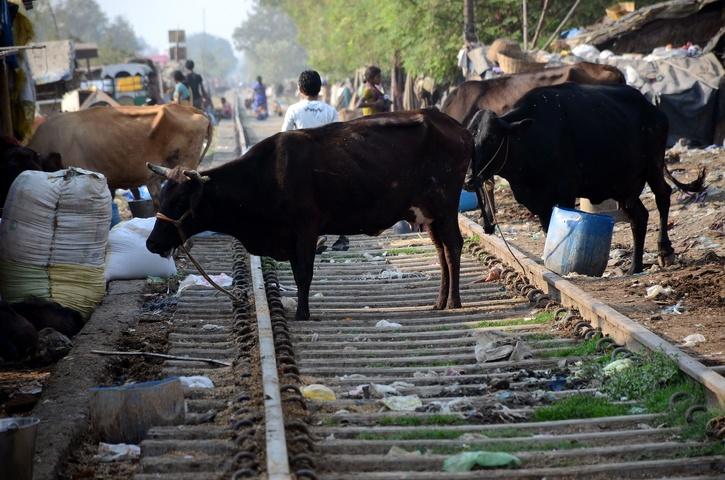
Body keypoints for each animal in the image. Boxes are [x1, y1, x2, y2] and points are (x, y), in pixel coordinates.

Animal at [145, 109, 472, 320]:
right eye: (162, 197)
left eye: (179, 201)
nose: (151, 243)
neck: (265, 176)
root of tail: (455, 126)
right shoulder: (290, 237)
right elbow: (297, 272)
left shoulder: (306, 229)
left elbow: (304, 273)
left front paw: (302, 313)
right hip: (429, 214)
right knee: (441, 250)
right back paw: (439, 301)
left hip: (445, 206)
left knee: (454, 245)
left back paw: (454, 301)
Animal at [466, 83, 705, 274]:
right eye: (468, 138)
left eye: (491, 138)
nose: (469, 179)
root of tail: (652, 109)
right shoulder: (540, 202)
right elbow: (547, 229)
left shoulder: (564, 193)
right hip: (623, 186)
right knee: (640, 216)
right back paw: (635, 267)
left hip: (652, 167)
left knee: (663, 196)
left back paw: (665, 251)